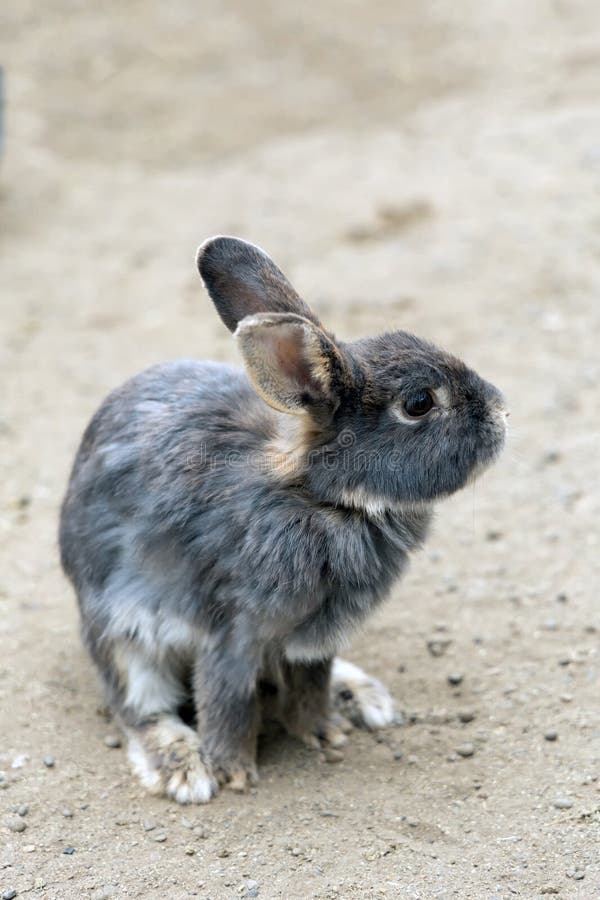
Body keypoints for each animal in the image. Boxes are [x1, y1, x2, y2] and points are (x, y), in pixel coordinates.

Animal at [59, 236, 507, 803]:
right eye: (419, 403)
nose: (502, 411)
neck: (323, 500)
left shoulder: (314, 639)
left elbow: (310, 685)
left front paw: (324, 731)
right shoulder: (233, 633)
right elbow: (228, 701)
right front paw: (232, 771)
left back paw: (361, 696)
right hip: (121, 633)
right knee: (139, 709)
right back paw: (183, 768)